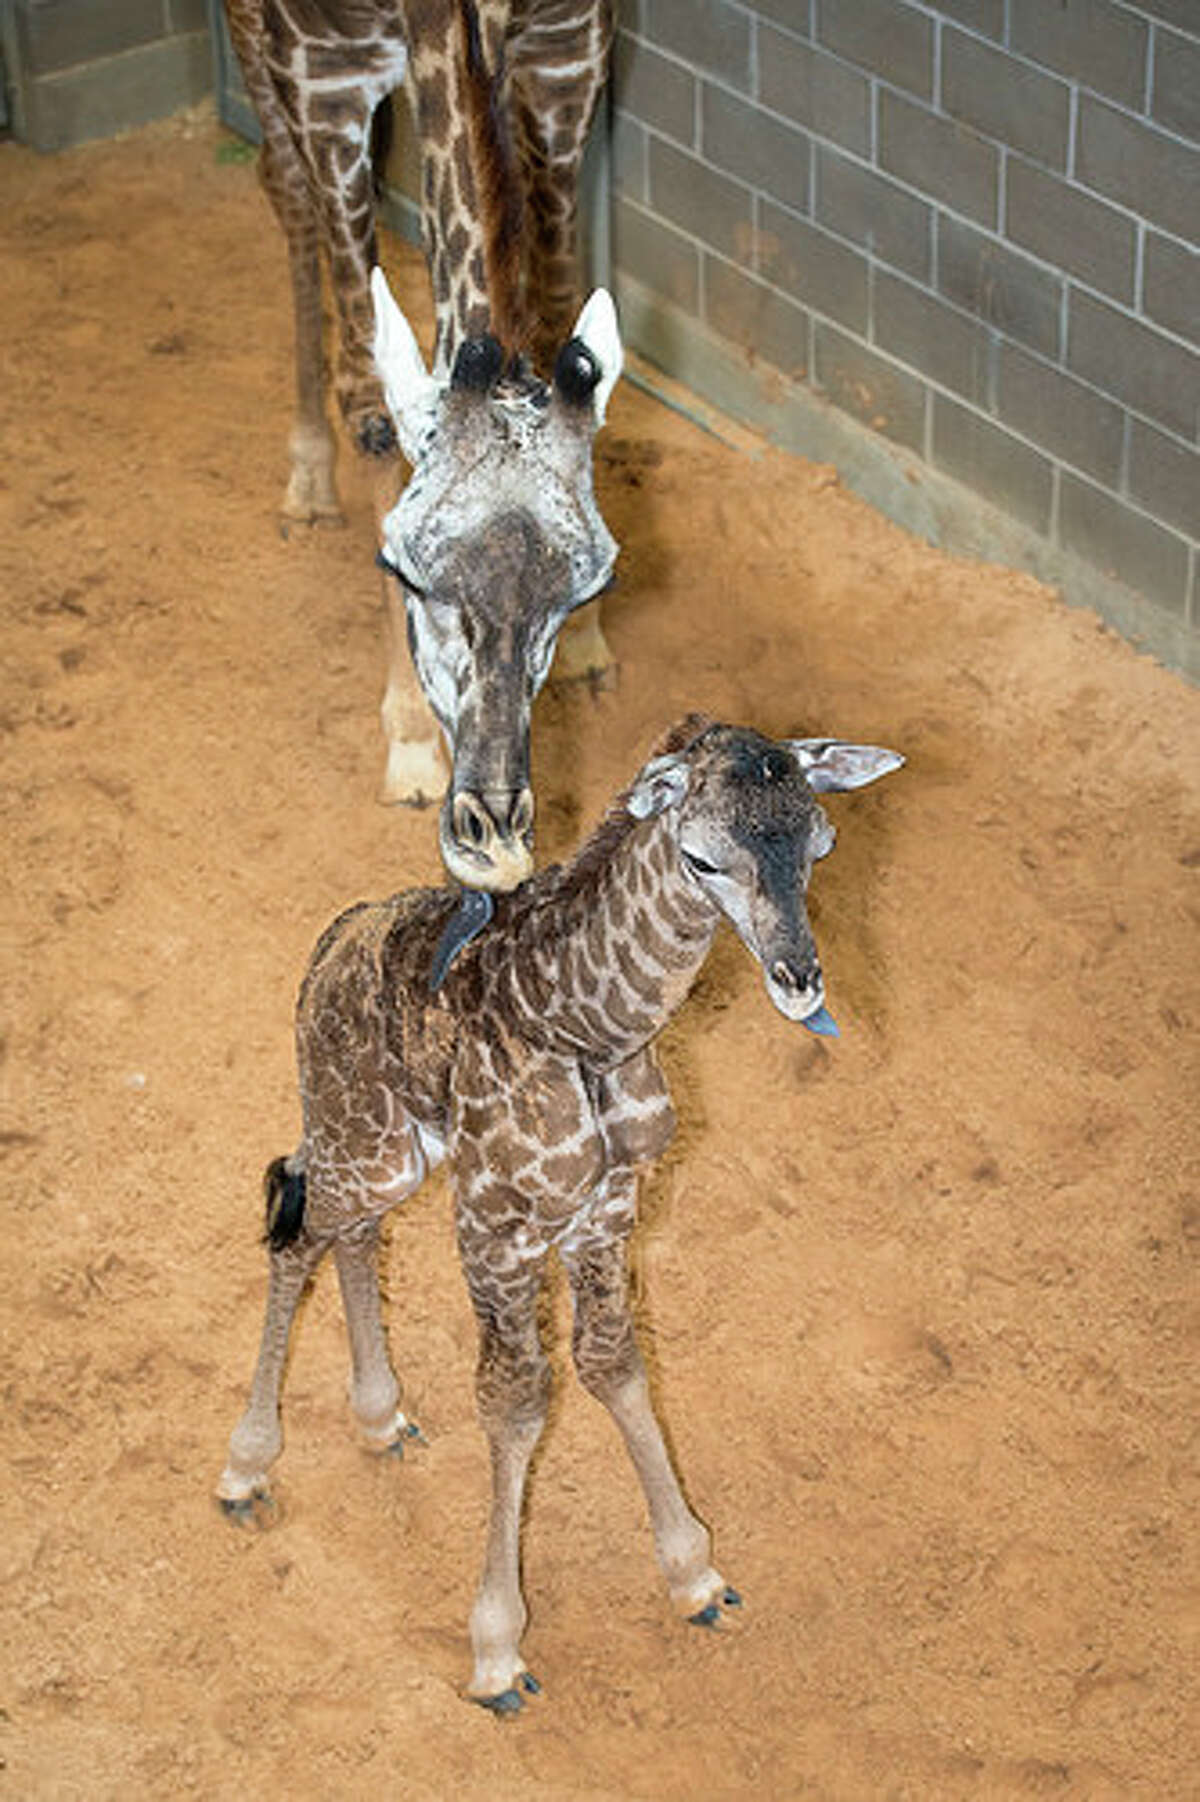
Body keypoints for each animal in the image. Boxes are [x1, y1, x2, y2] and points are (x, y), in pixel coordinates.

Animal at [216, 715, 904, 1710]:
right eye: (703, 858)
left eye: (821, 844)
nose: (800, 981)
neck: (585, 1031)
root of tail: (329, 948)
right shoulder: (494, 1226)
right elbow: (515, 1400)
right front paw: (497, 1651)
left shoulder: (606, 1211)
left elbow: (612, 1363)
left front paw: (695, 1576)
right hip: (360, 1138)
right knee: (297, 1230)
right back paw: (246, 1467)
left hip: (396, 1158)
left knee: (349, 1232)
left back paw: (381, 1419)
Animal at [223, 0, 620, 884]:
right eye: (401, 569)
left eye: (585, 590)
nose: (496, 841)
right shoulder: (325, 84)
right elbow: (369, 401)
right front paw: (406, 739)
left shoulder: (571, 55)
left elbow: (559, 306)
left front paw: (589, 649)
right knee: (281, 185)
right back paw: (307, 476)